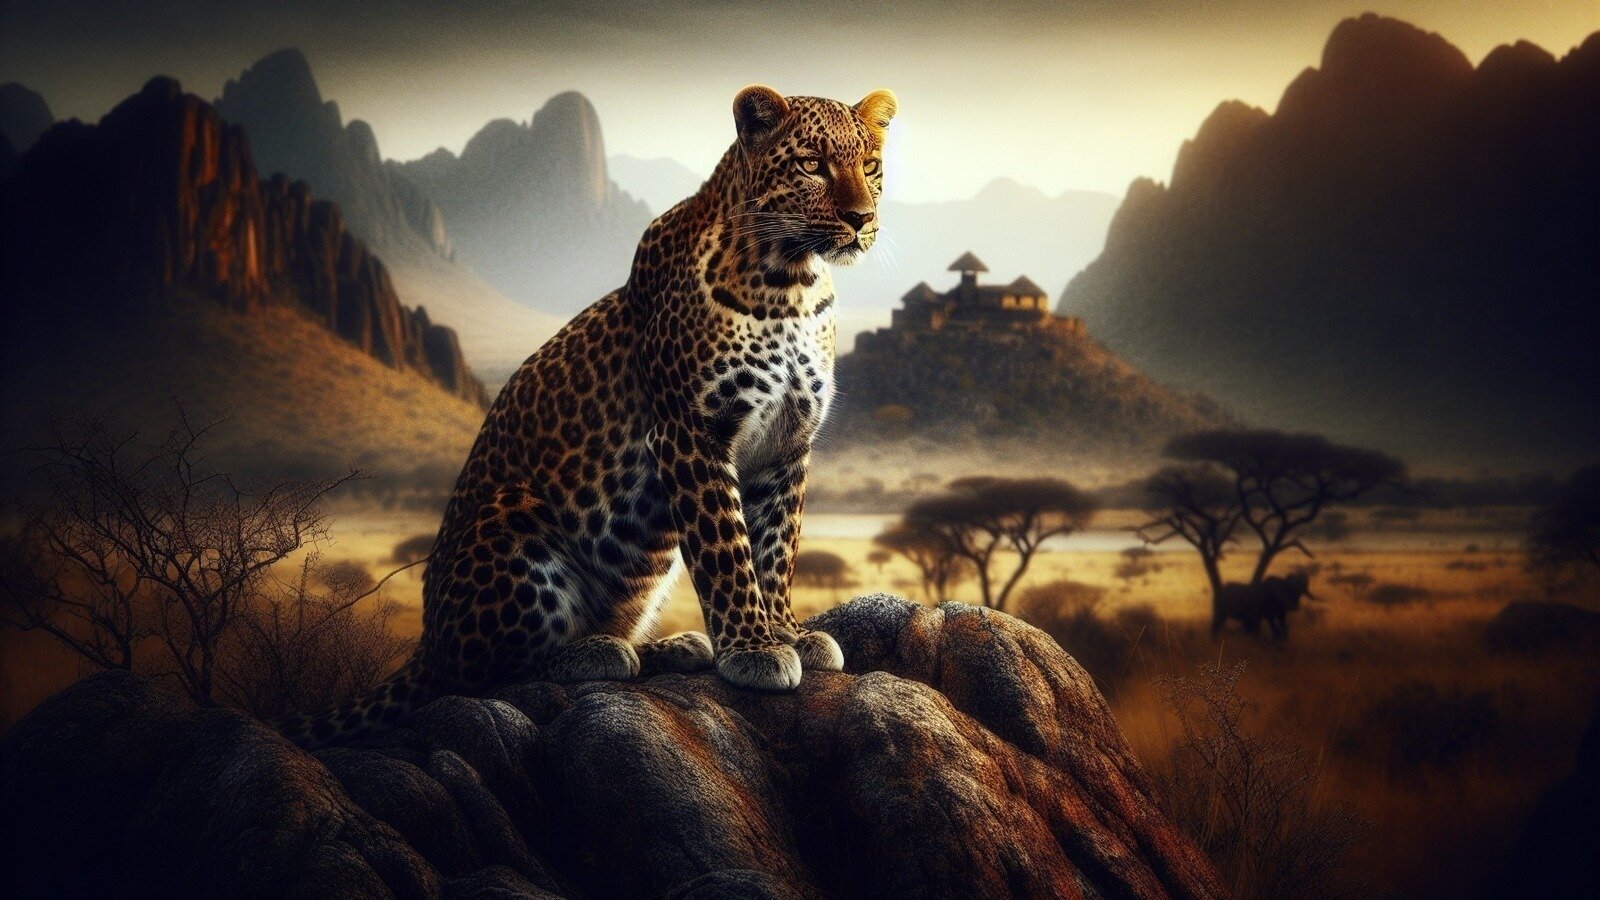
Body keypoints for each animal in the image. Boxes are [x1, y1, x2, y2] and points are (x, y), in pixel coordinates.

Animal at [277, 85, 897, 748]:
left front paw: (786, 632)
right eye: (811, 165)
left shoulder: (787, 446)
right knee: (478, 674)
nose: (861, 219)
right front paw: (754, 649)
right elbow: (727, 548)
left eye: (870, 167)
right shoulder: (690, 432)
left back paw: (670, 647)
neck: (791, 285)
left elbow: (777, 547)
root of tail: (426, 641)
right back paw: (598, 653)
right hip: (512, 529)